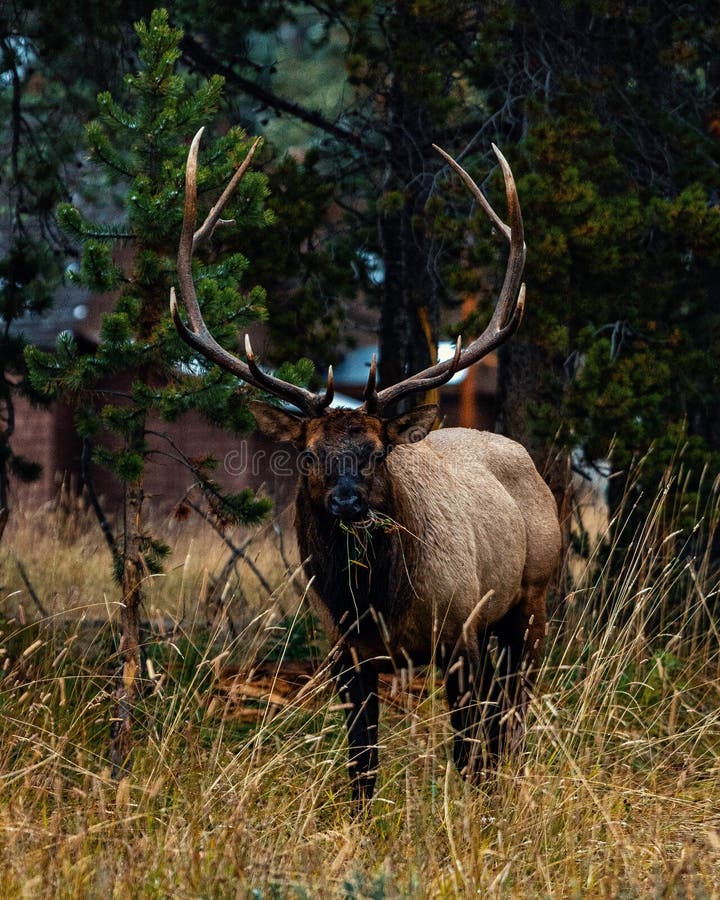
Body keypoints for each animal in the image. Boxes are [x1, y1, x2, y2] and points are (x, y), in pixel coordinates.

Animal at [171, 128, 562, 806]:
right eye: (308, 453)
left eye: (378, 452)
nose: (348, 502)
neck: (380, 603)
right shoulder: (346, 655)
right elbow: (361, 770)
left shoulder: (459, 634)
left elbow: (464, 752)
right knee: (497, 719)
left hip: (528, 600)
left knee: (508, 718)